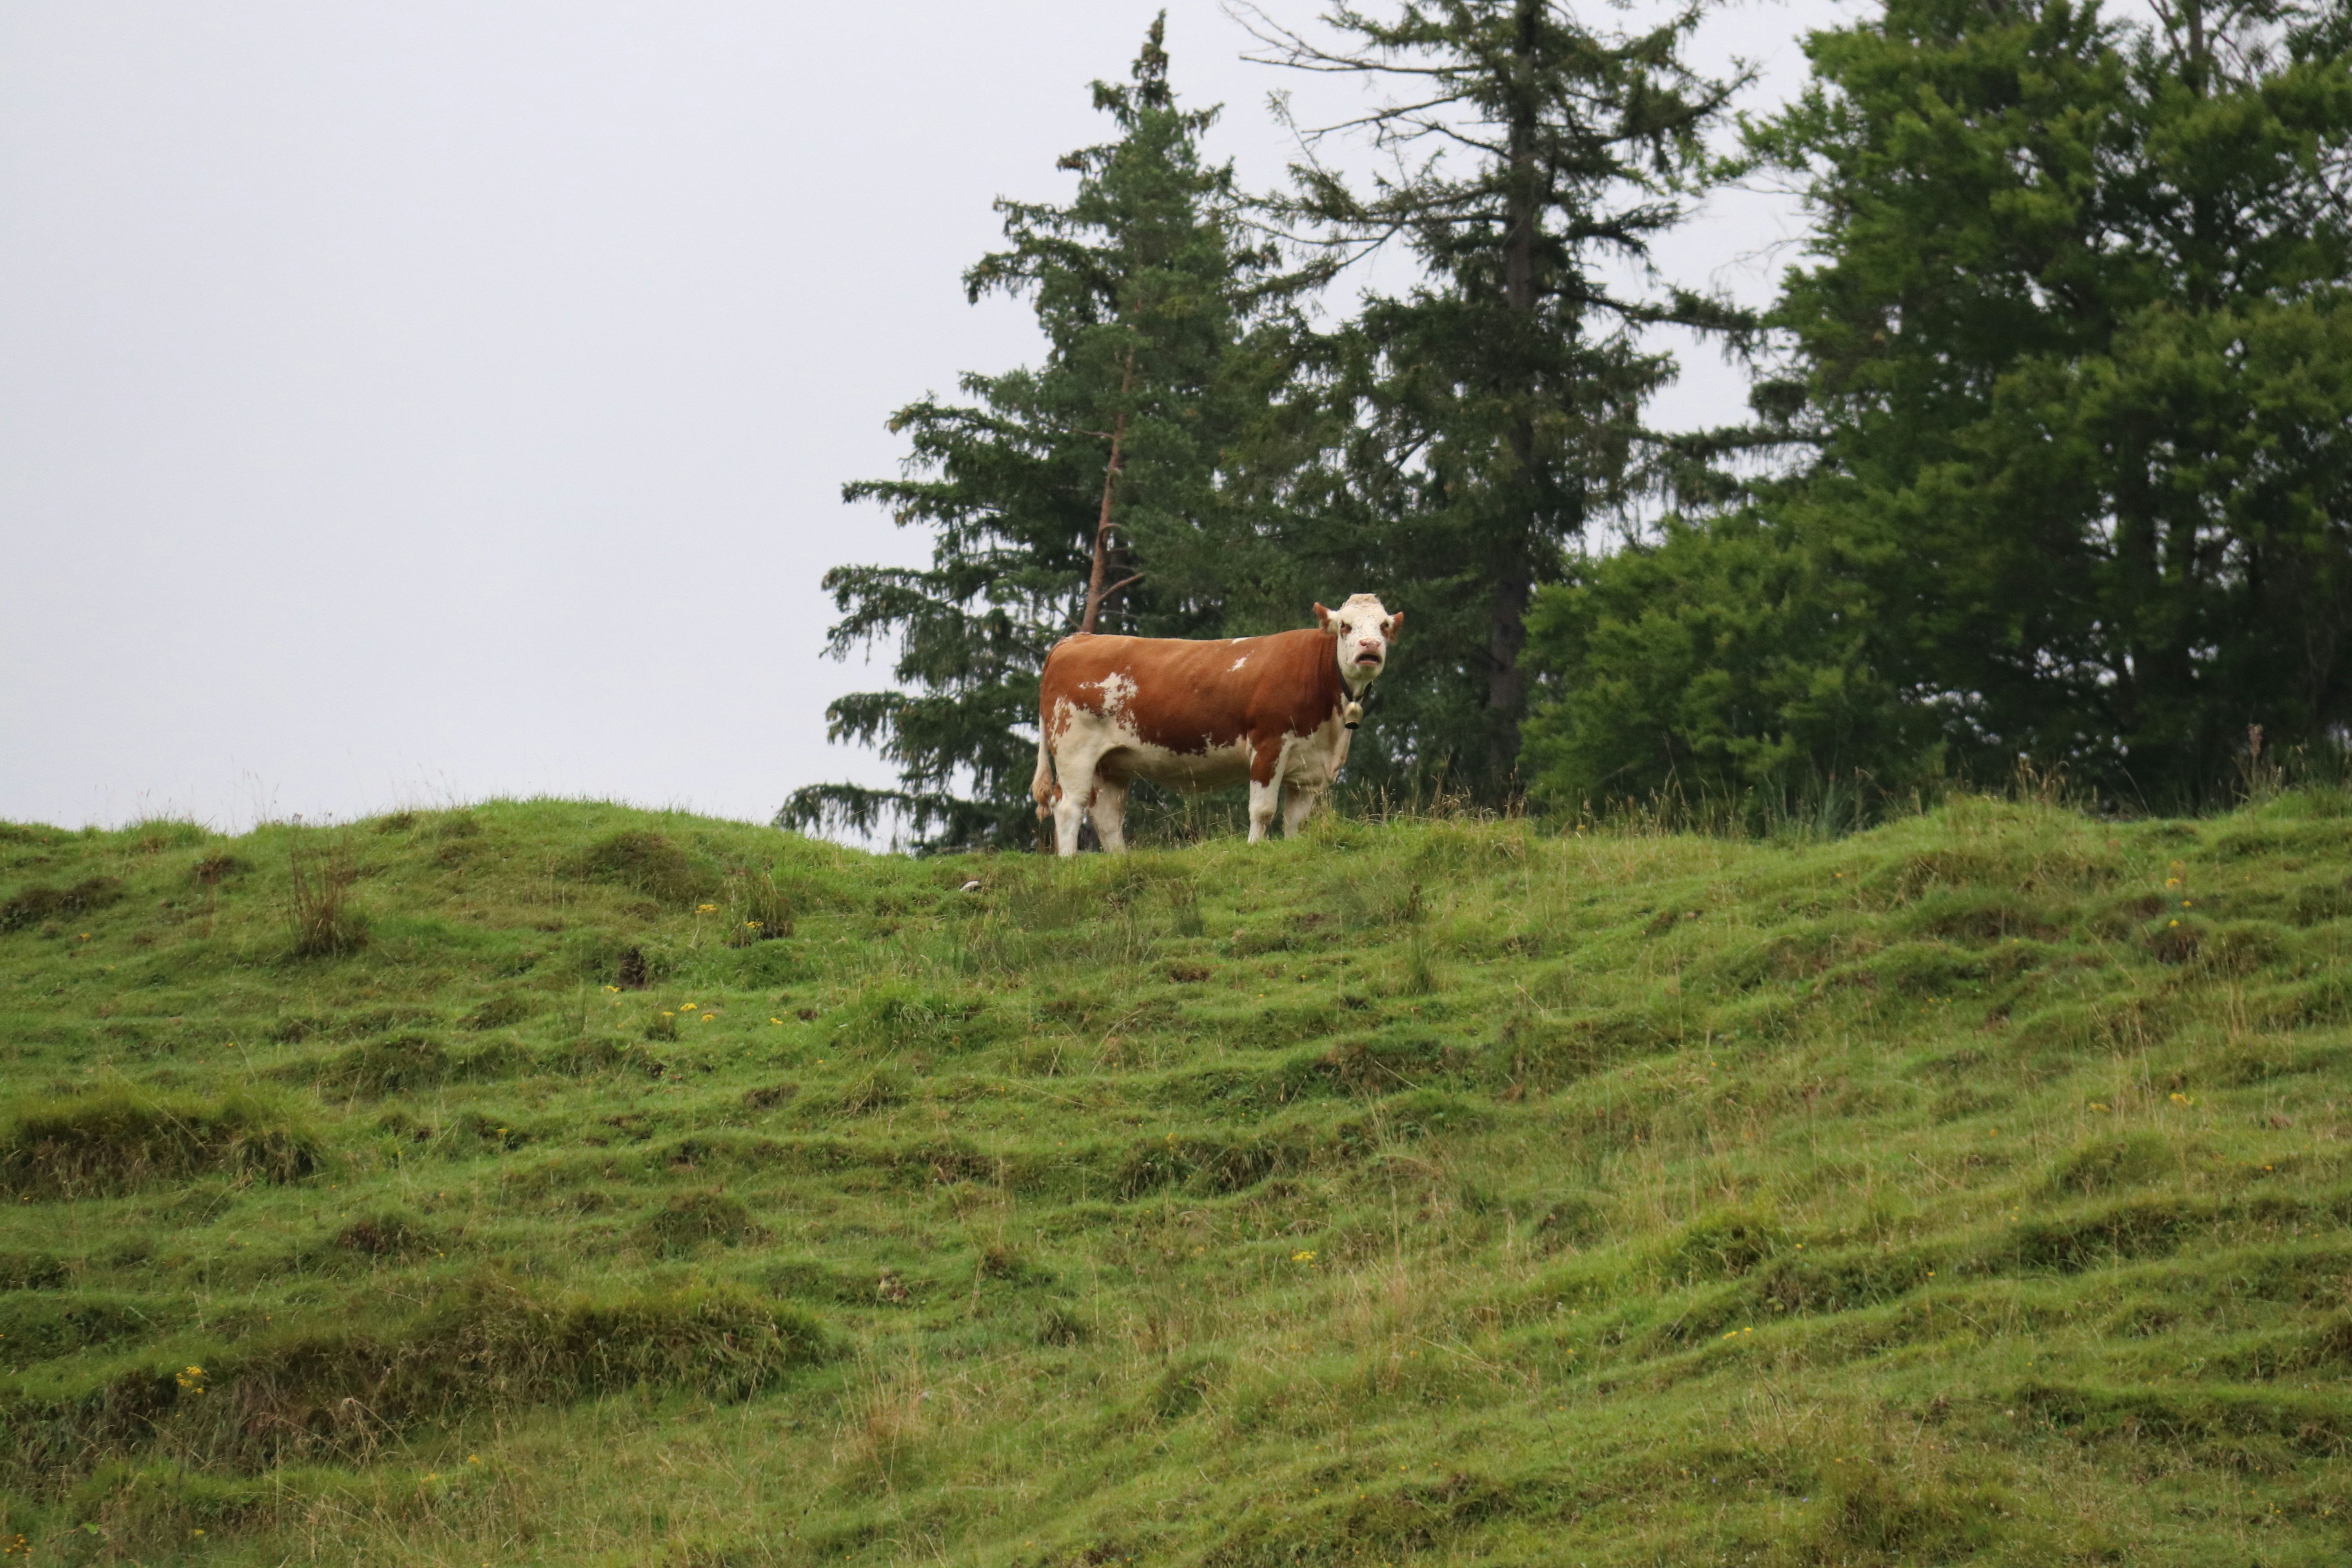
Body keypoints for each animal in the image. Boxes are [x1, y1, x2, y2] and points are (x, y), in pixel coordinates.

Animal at [1030, 594, 1402, 855]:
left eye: (1384, 626)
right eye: (1346, 626)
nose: (1370, 646)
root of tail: (1076, 640)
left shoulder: (1310, 767)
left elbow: (1296, 819)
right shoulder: (1269, 744)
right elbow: (1263, 810)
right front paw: (1255, 848)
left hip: (1111, 765)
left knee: (1107, 817)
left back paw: (1120, 861)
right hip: (1075, 750)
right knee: (1068, 805)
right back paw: (1069, 861)